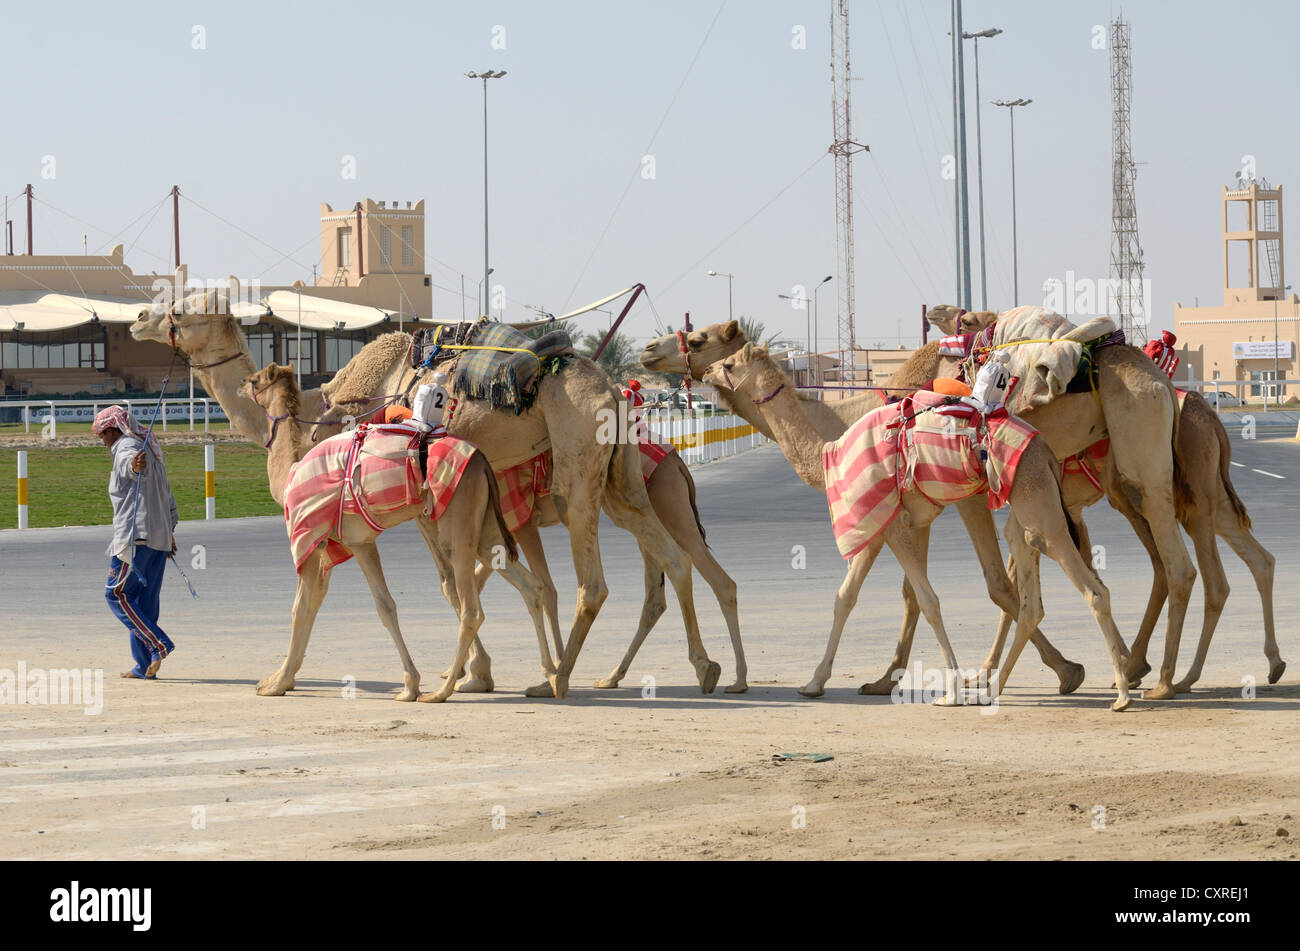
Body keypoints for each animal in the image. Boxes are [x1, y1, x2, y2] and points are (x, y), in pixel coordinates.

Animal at [242, 363, 562, 703]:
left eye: (255, 380)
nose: (241, 383)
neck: (290, 472)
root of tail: (482, 462)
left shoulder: (310, 537)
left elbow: (301, 608)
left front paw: (275, 683)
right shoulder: (356, 542)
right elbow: (379, 606)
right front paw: (409, 683)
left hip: (458, 523)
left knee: (471, 608)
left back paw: (442, 691)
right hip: (487, 528)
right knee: (532, 587)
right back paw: (551, 677)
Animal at [643, 318, 1199, 701]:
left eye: (701, 341)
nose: (648, 350)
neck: (832, 438)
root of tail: (1162, 378)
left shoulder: (918, 512)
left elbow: (953, 592)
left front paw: (1042, 673)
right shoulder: (900, 517)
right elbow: (866, 596)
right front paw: (834, 681)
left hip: (1132, 474)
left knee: (1170, 567)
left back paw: (1156, 681)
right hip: (1105, 491)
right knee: (1143, 565)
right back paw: (1134, 669)